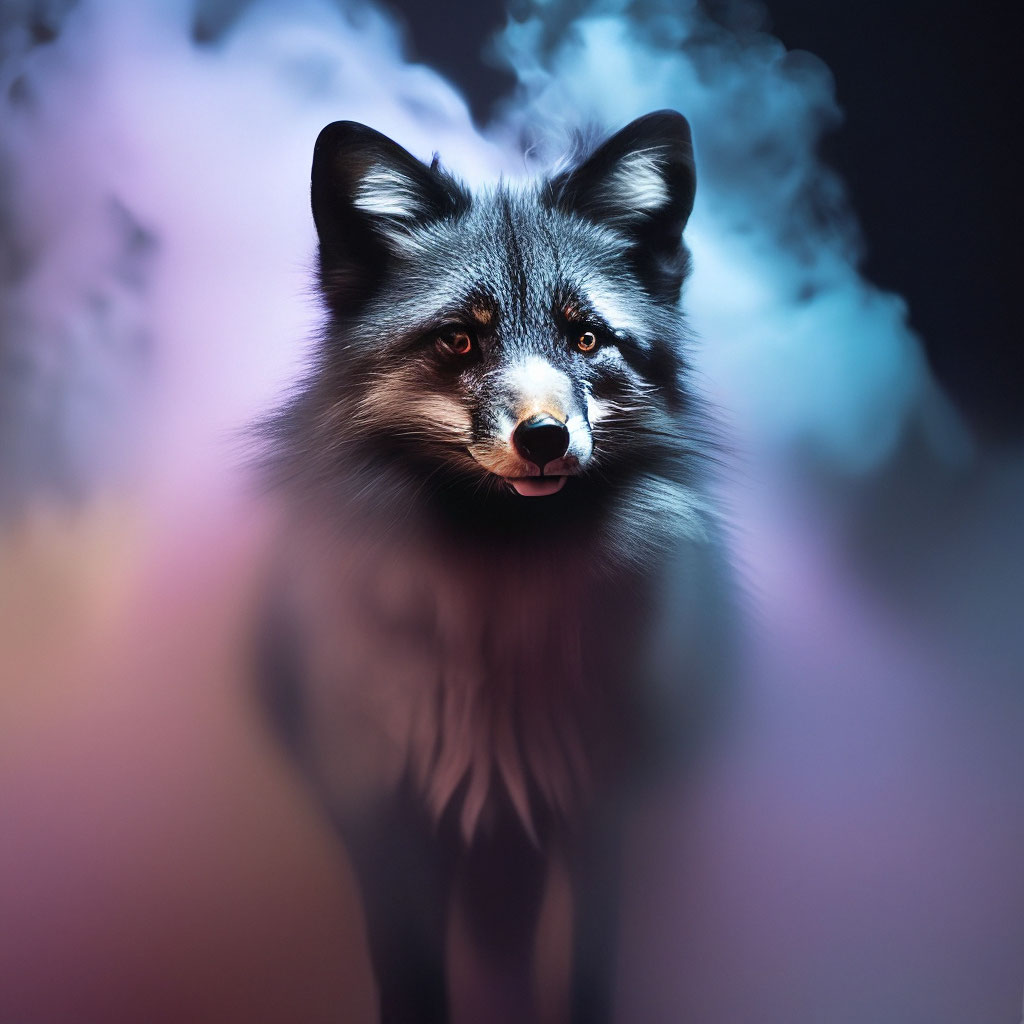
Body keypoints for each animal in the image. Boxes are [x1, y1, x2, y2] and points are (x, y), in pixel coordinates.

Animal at [255, 110, 737, 1024]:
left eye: (586, 337)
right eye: (460, 338)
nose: (545, 438)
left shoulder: (598, 814)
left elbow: (586, 981)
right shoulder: (387, 818)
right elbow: (412, 982)